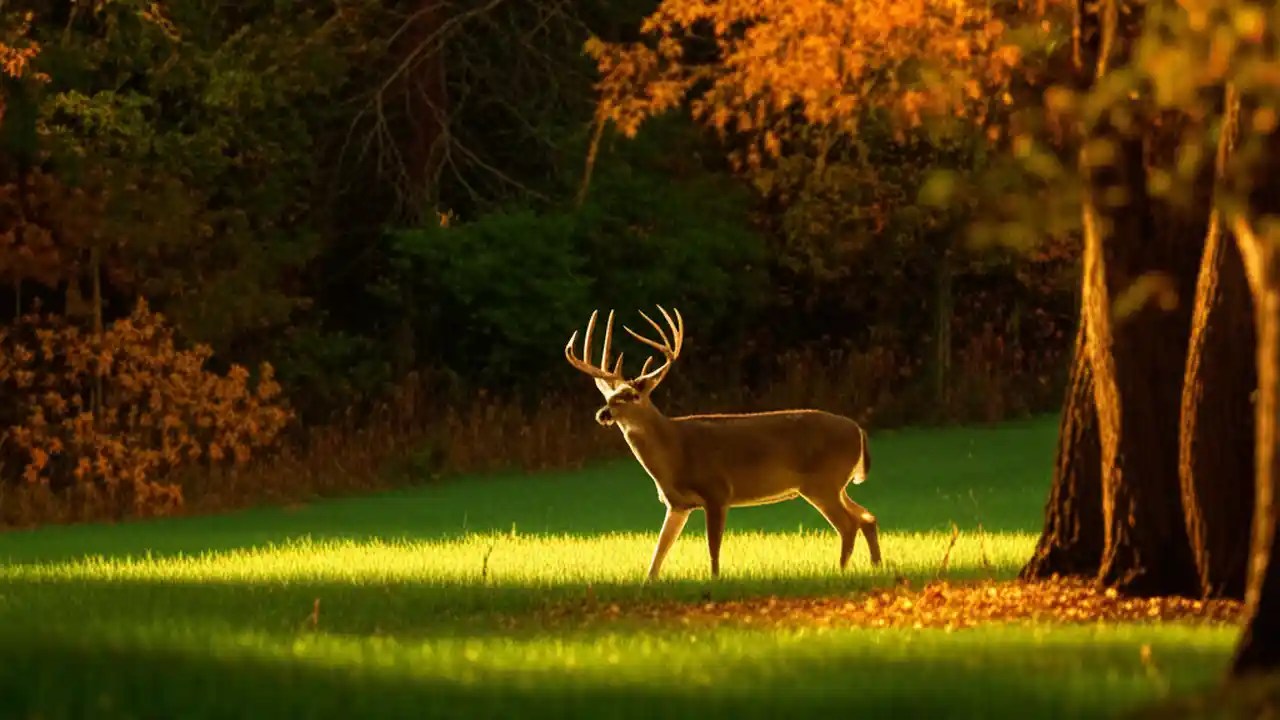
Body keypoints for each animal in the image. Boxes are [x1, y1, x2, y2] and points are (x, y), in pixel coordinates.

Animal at [564, 305, 882, 581]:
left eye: (631, 395)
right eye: (608, 396)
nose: (603, 414)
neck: (674, 452)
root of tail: (858, 430)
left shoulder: (717, 490)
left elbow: (713, 547)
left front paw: (715, 579)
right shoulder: (677, 504)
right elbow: (658, 553)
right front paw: (647, 583)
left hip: (822, 483)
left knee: (849, 524)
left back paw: (841, 570)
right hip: (835, 484)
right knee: (867, 518)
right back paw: (876, 566)